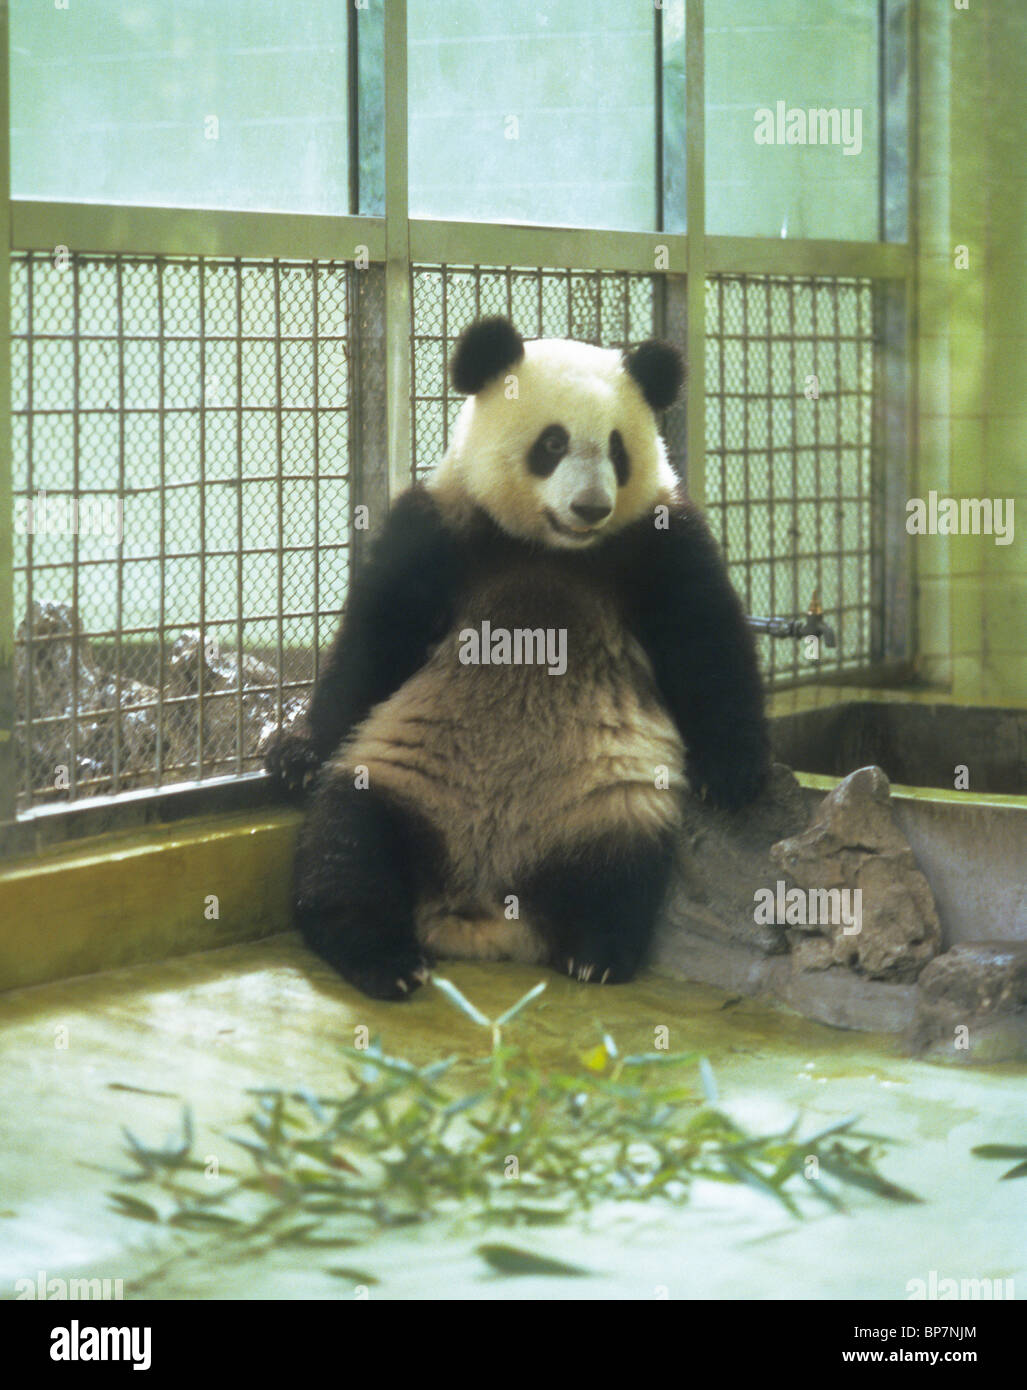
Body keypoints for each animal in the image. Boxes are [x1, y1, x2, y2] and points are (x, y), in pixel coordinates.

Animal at [265, 316, 770, 1000]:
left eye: (617, 449)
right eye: (552, 443)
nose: (591, 508)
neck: (551, 549)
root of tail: (481, 911)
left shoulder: (656, 540)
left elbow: (705, 639)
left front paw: (735, 774)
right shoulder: (443, 524)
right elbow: (376, 640)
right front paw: (295, 752)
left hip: (607, 802)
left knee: (621, 871)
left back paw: (595, 952)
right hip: (401, 775)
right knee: (348, 843)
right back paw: (383, 959)